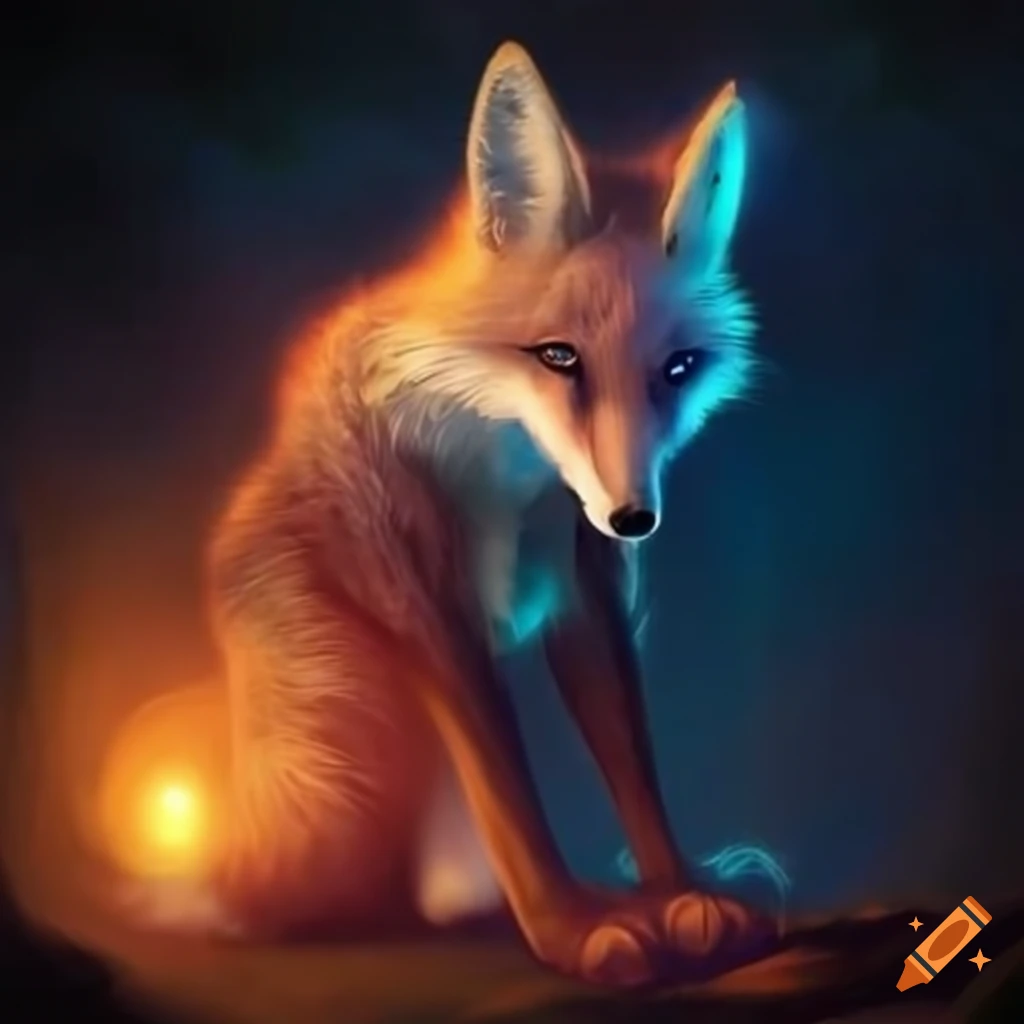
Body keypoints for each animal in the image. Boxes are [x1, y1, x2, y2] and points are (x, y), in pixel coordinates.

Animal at [155, 42, 769, 986]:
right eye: (558, 357)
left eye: (676, 370)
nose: (634, 518)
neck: (505, 476)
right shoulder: (423, 598)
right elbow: (507, 789)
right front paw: (572, 931)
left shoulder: (588, 589)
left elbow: (630, 761)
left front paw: (678, 895)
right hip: (351, 746)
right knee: (316, 902)